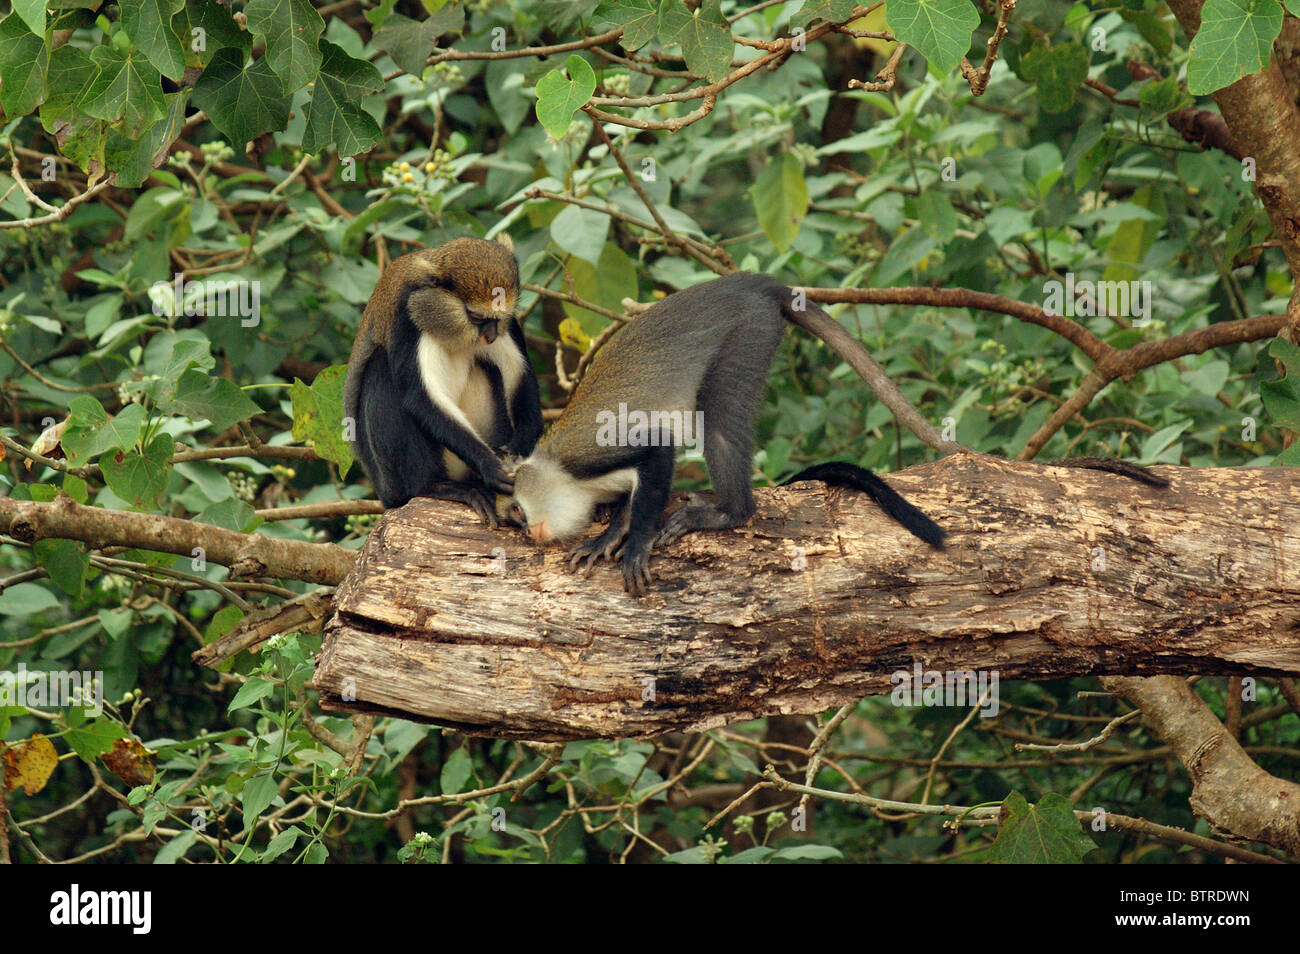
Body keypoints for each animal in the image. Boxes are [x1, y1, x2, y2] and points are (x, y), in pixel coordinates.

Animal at [344, 236, 542, 523]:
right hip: (393, 480)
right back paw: (436, 487)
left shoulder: (509, 324)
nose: (490, 336)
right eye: (476, 317)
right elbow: (423, 397)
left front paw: (521, 448)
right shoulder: (410, 316)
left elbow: (519, 375)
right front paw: (490, 466)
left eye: (497, 317)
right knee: (379, 367)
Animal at [503, 271, 945, 595]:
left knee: (717, 420)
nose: (526, 530)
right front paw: (610, 535)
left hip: (750, 330)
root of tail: (746, 281)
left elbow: (659, 450)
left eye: (519, 511)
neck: (564, 476)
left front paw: (636, 544)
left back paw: (731, 511)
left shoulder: (585, 455)